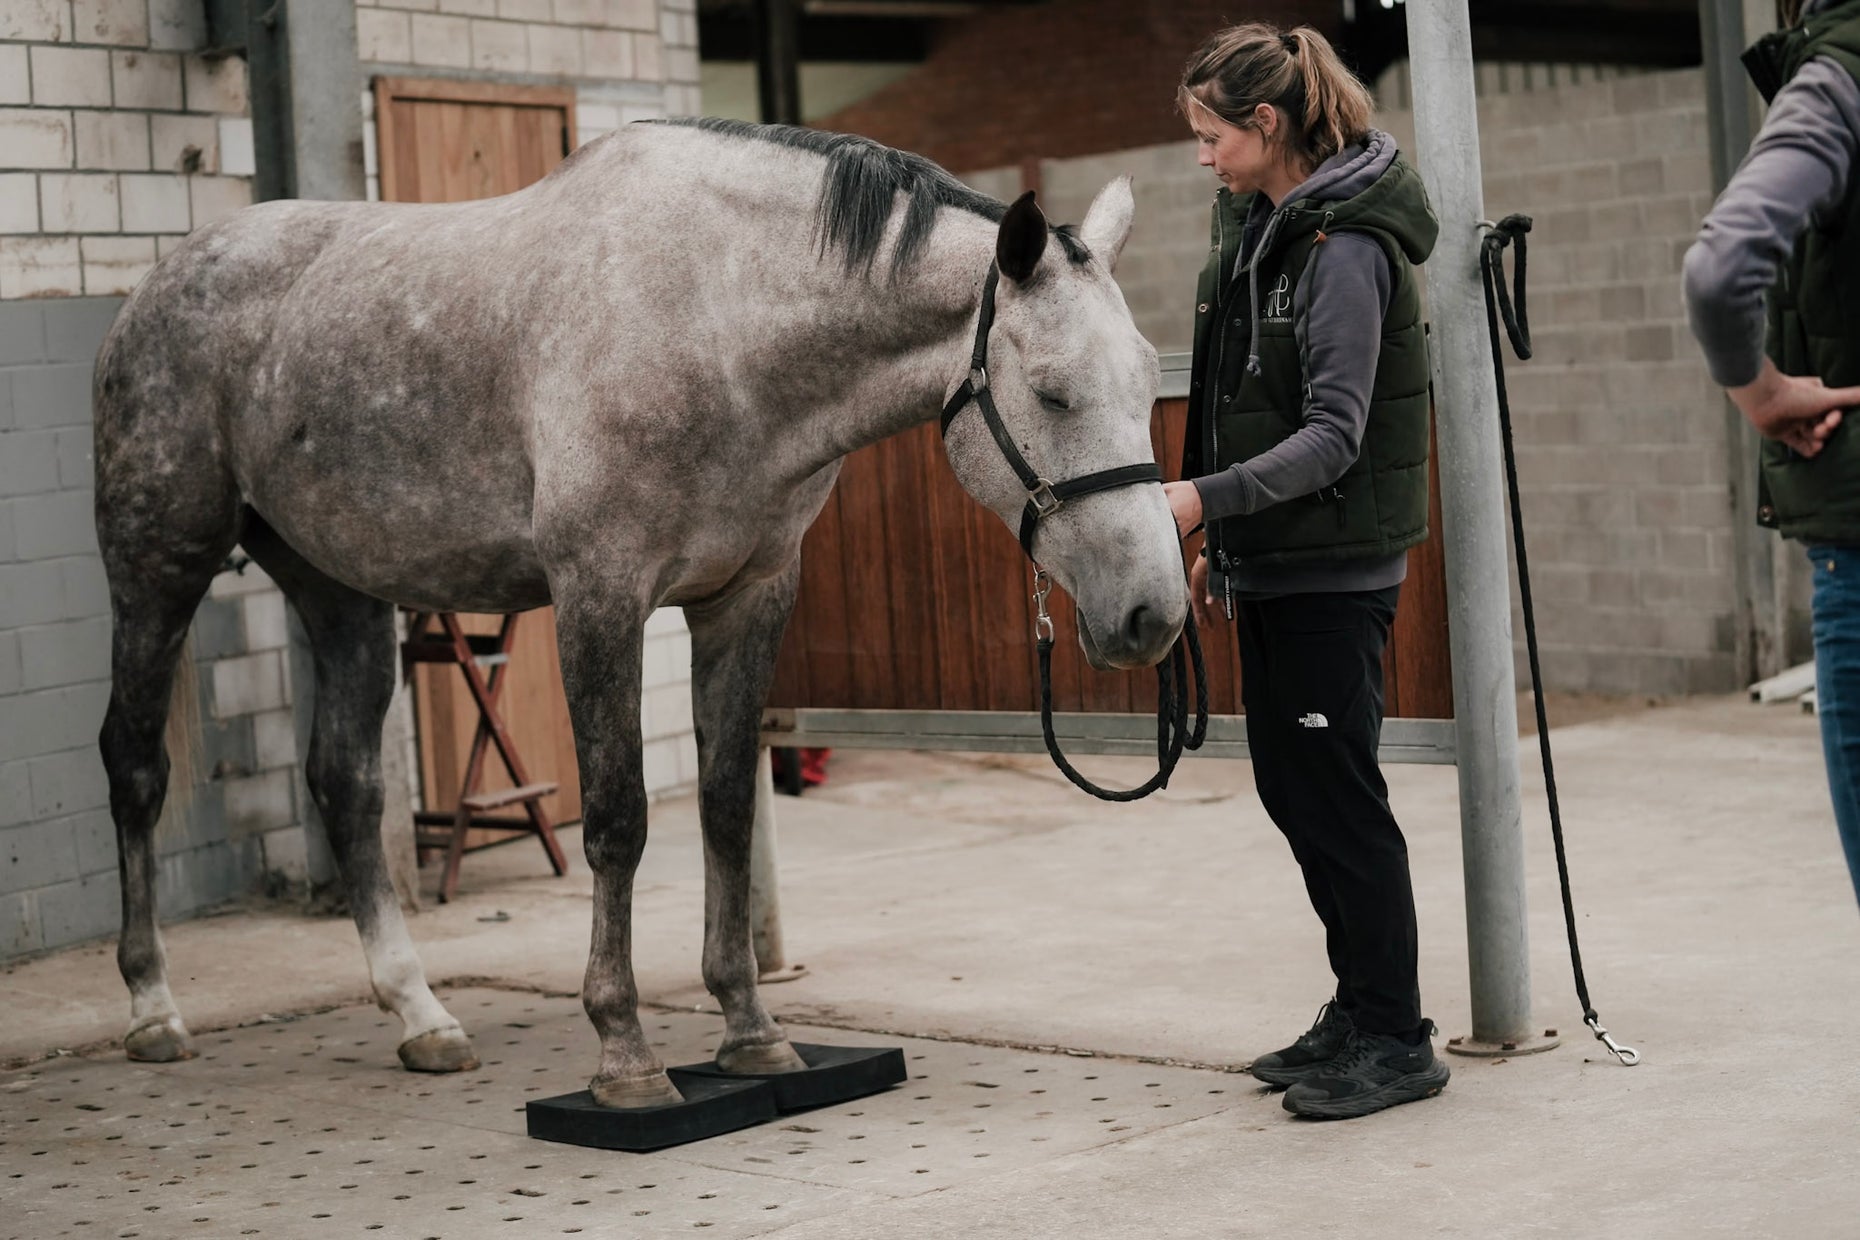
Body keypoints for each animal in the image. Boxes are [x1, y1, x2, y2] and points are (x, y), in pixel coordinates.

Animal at [92, 118, 1185, 1108]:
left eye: (1144, 380)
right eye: (1052, 393)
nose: (1154, 614)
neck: (714, 319)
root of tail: (152, 287)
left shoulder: (748, 598)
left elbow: (724, 808)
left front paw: (751, 1032)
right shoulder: (600, 596)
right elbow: (618, 820)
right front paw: (623, 1053)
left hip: (342, 590)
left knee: (346, 784)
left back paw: (421, 1015)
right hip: (158, 567)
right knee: (135, 762)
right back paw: (151, 1009)